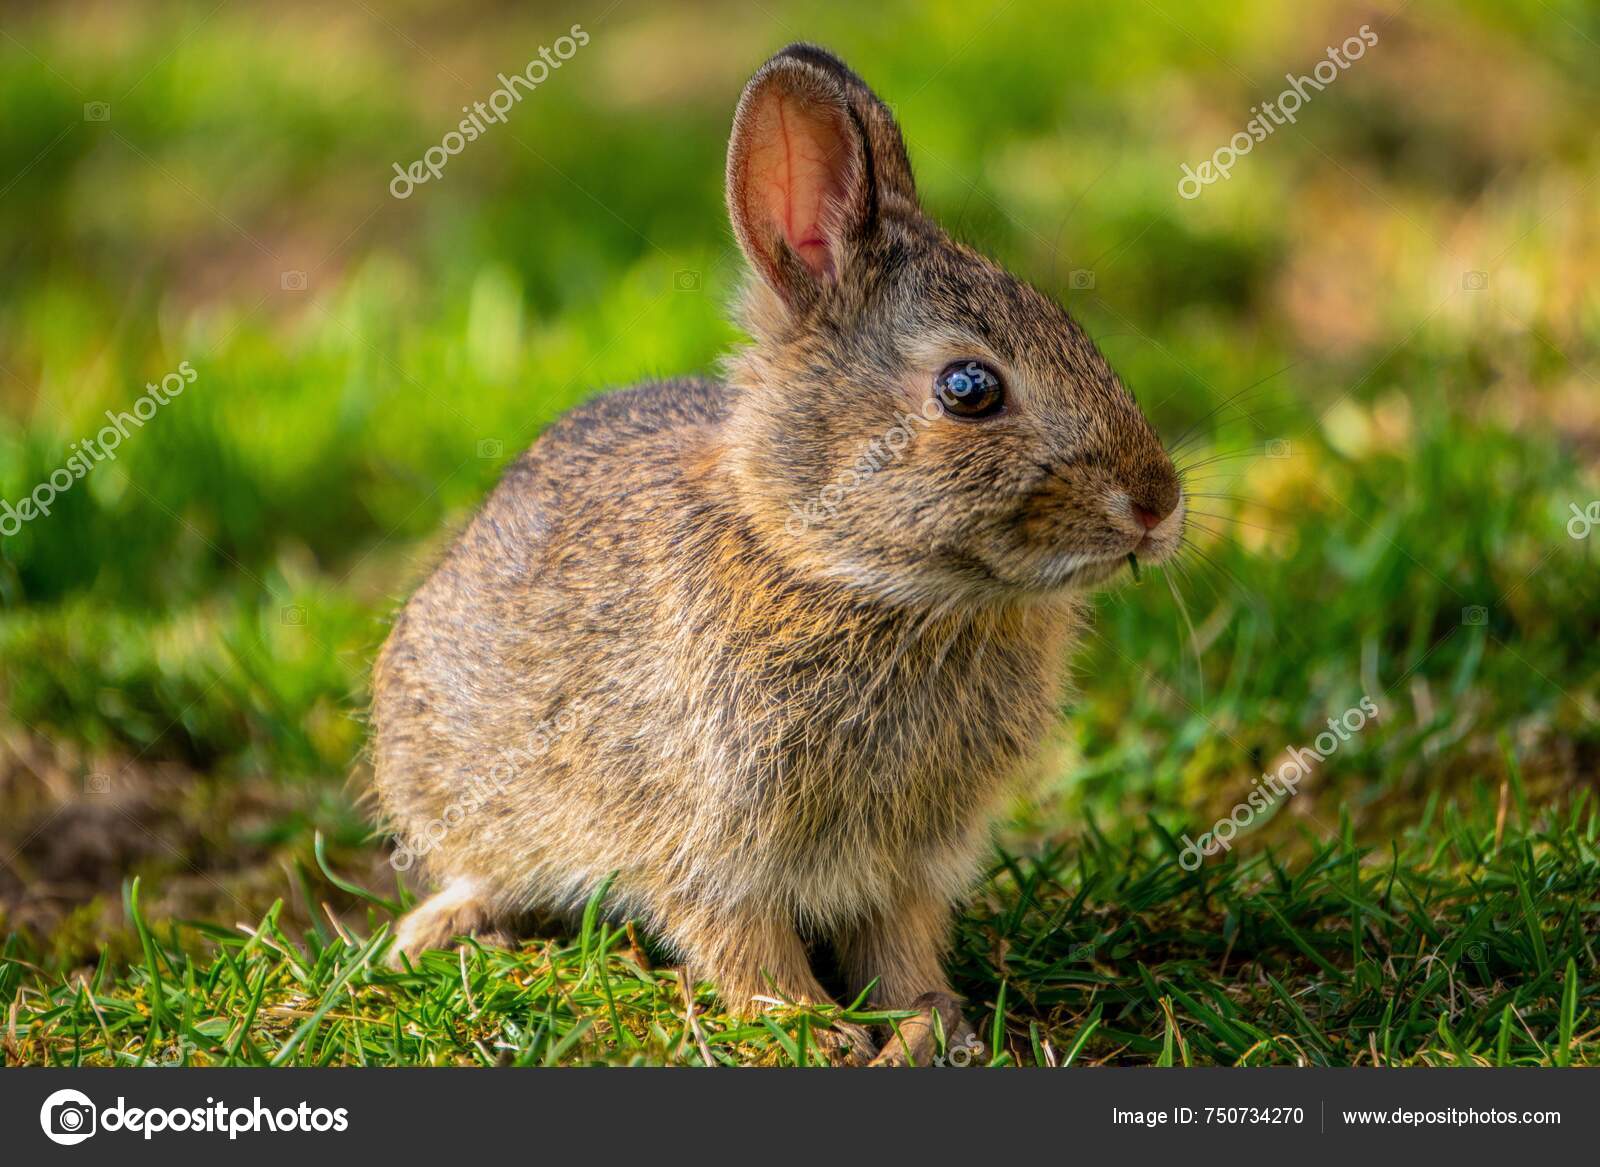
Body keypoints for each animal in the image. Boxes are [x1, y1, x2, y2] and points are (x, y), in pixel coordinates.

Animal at [370, 42, 1185, 1066]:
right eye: (969, 388)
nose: (1158, 504)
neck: (838, 572)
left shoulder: (906, 862)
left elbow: (901, 943)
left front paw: (929, 1024)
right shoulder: (706, 838)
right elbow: (738, 938)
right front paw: (810, 1026)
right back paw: (437, 932)